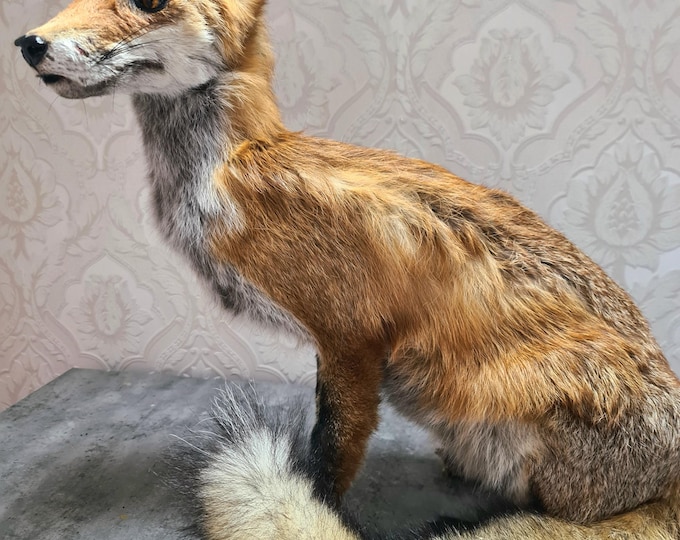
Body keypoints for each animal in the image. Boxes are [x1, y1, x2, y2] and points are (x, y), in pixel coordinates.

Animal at [14, 0, 680, 538]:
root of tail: (669, 475)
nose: (28, 42)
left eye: (148, 1)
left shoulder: (350, 338)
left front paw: (316, 506)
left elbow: (329, 451)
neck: (232, 174)